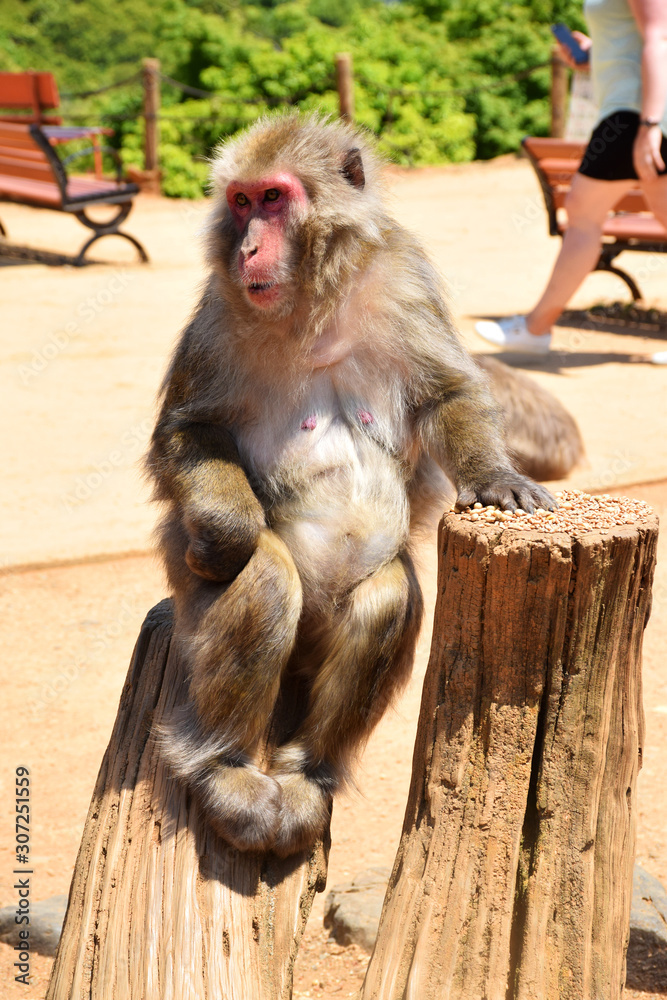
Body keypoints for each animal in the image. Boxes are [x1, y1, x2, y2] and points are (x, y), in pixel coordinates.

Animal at [146, 113, 556, 858]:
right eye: (240, 202)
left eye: (273, 198)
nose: (248, 247)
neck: (314, 299)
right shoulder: (217, 316)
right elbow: (189, 433)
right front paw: (220, 539)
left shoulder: (404, 272)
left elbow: (446, 394)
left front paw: (496, 478)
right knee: (267, 579)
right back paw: (225, 768)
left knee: (387, 593)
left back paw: (308, 771)